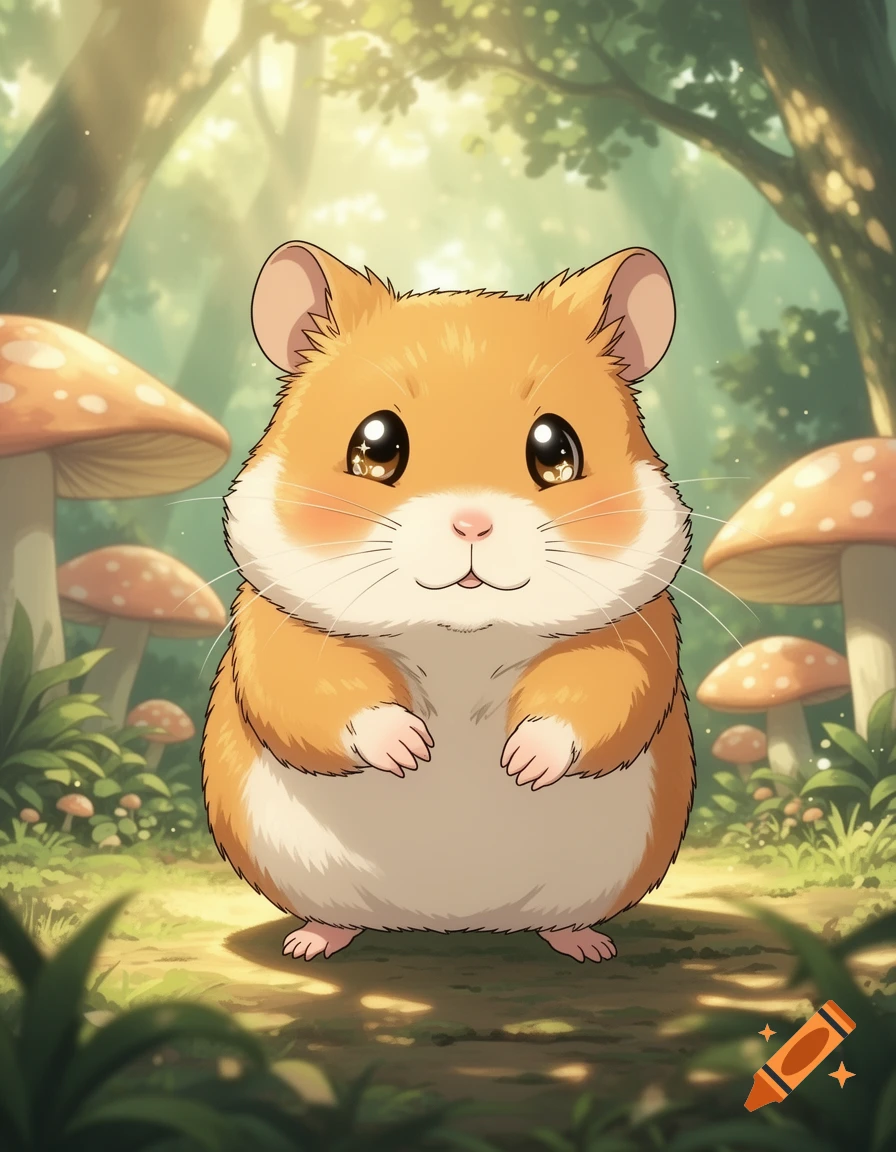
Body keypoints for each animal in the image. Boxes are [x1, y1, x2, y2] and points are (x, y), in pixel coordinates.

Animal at [201, 240, 695, 964]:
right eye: (376, 445)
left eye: (557, 449)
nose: (471, 524)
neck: (460, 633)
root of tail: (453, 924)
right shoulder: (277, 626)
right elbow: (312, 689)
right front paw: (413, 750)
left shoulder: (637, 630)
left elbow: (598, 691)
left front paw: (521, 765)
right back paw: (309, 943)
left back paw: (588, 948)